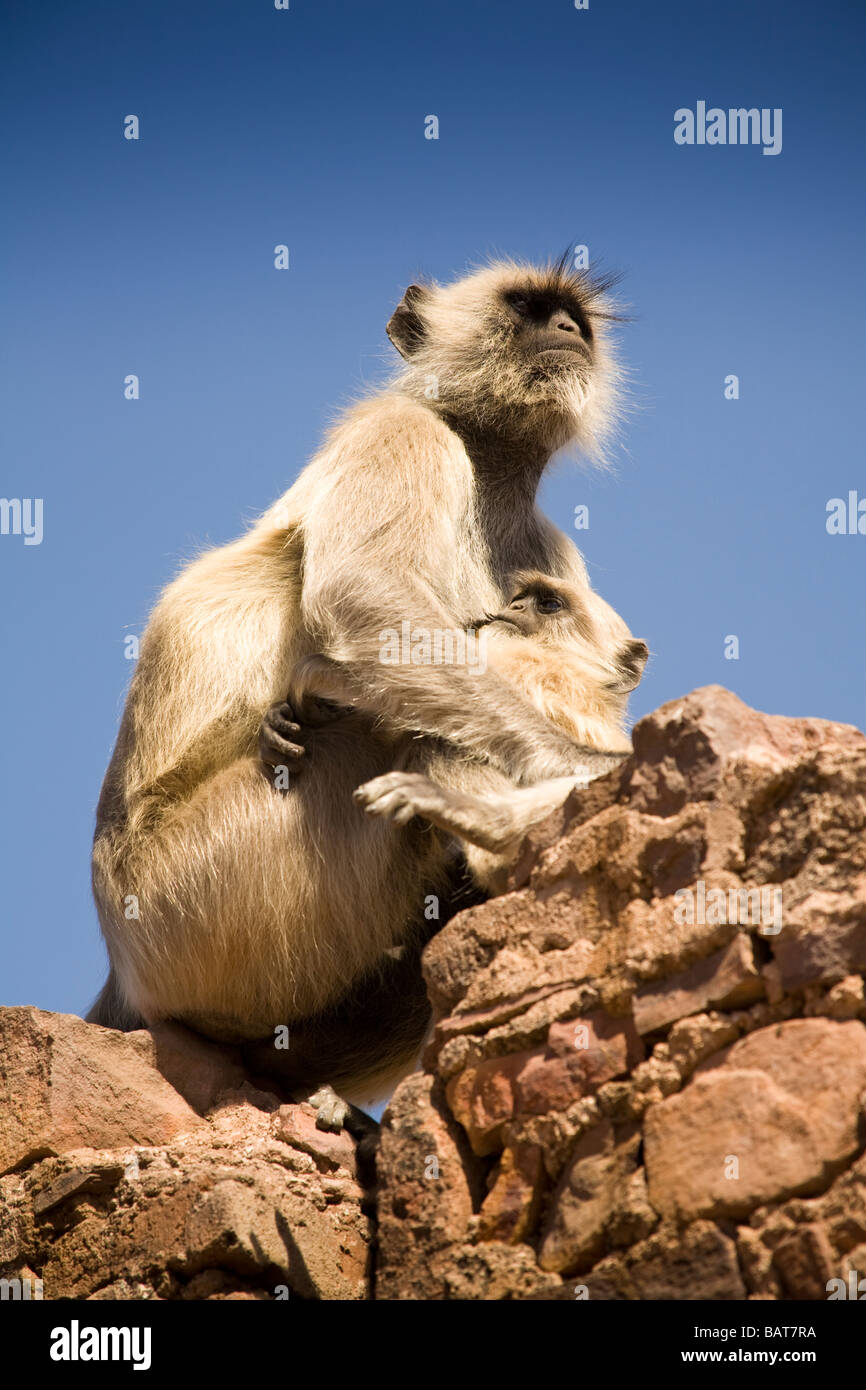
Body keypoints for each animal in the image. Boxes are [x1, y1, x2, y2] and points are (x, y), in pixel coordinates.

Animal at [89, 255, 635, 1111]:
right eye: (526, 306)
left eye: (573, 317)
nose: (566, 330)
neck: (487, 466)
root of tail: (125, 967)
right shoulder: (401, 433)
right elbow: (366, 601)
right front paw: (579, 768)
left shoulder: (552, 556)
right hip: (200, 897)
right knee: (384, 723)